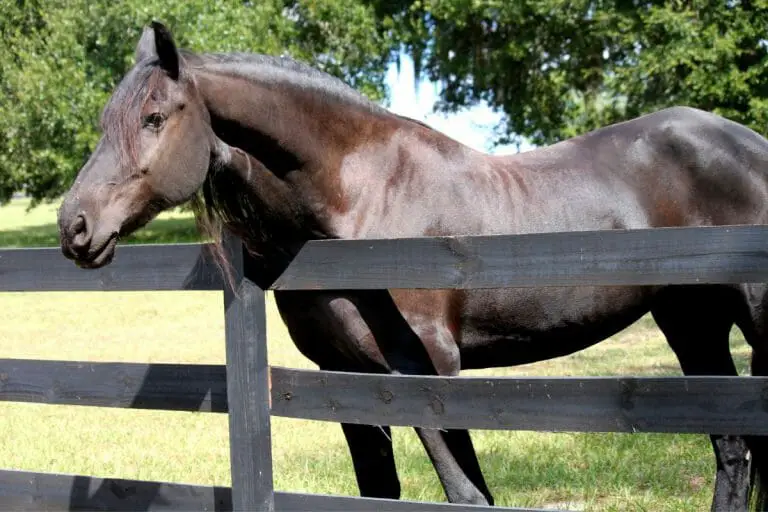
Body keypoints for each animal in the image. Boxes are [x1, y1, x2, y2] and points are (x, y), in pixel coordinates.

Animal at [57, 21, 768, 511]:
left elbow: (468, 493)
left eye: (154, 117)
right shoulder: (341, 375)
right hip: (692, 323)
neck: (357, 201)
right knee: (732, 449)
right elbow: (382, 490)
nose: (74, 225)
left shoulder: (429, 366)